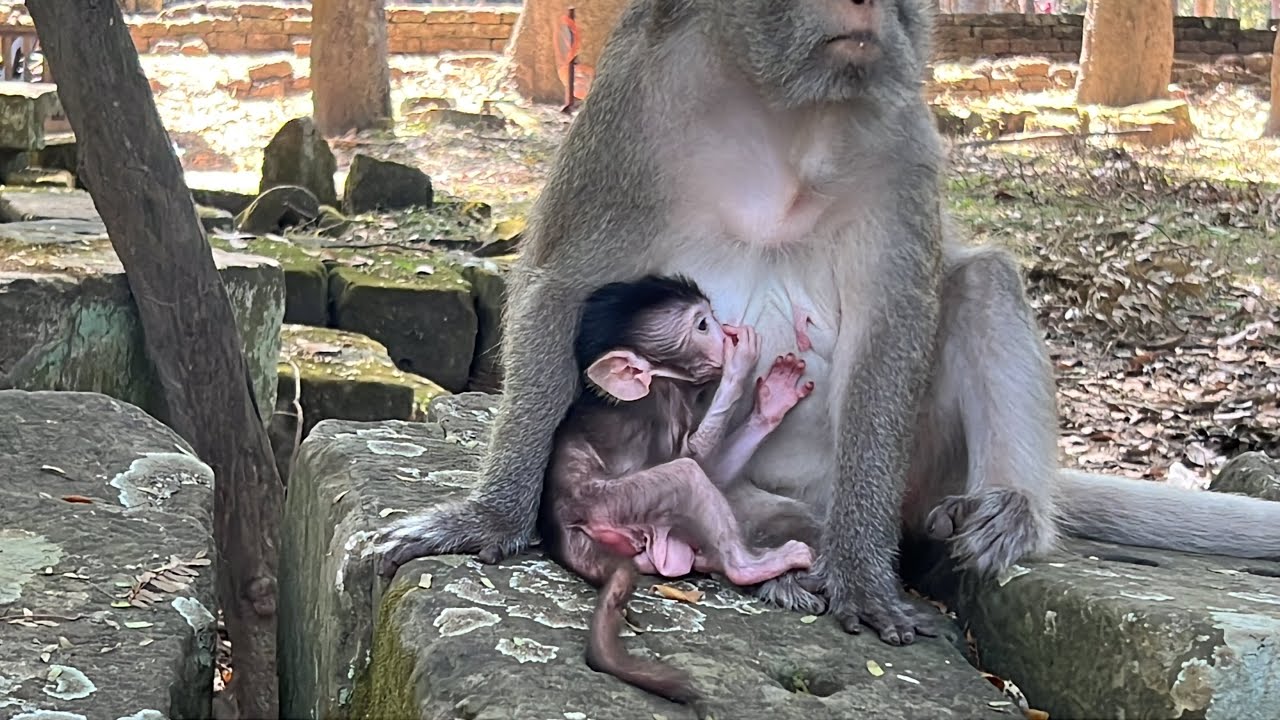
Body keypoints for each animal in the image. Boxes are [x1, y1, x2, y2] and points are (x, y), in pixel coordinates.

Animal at [375, 0, 1280, 647]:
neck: (784, 103)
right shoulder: (630, 100)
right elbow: (565, 283)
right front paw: (489, 518)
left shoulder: (902, 132)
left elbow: (894, 323)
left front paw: (865, 578)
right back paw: (775, 565)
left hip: (922, 467)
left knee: (981, 282)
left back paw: (1004, 510)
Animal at [539, 274, 820, 706]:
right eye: (703, 325)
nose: (727, 331)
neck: (663, 382)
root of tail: (561, 531)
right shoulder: (660, 409)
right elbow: (697, 461)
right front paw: (740, 364)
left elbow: (717, 472)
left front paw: (771, 401)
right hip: (608, 503)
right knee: (686, 475)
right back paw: (752, 566)